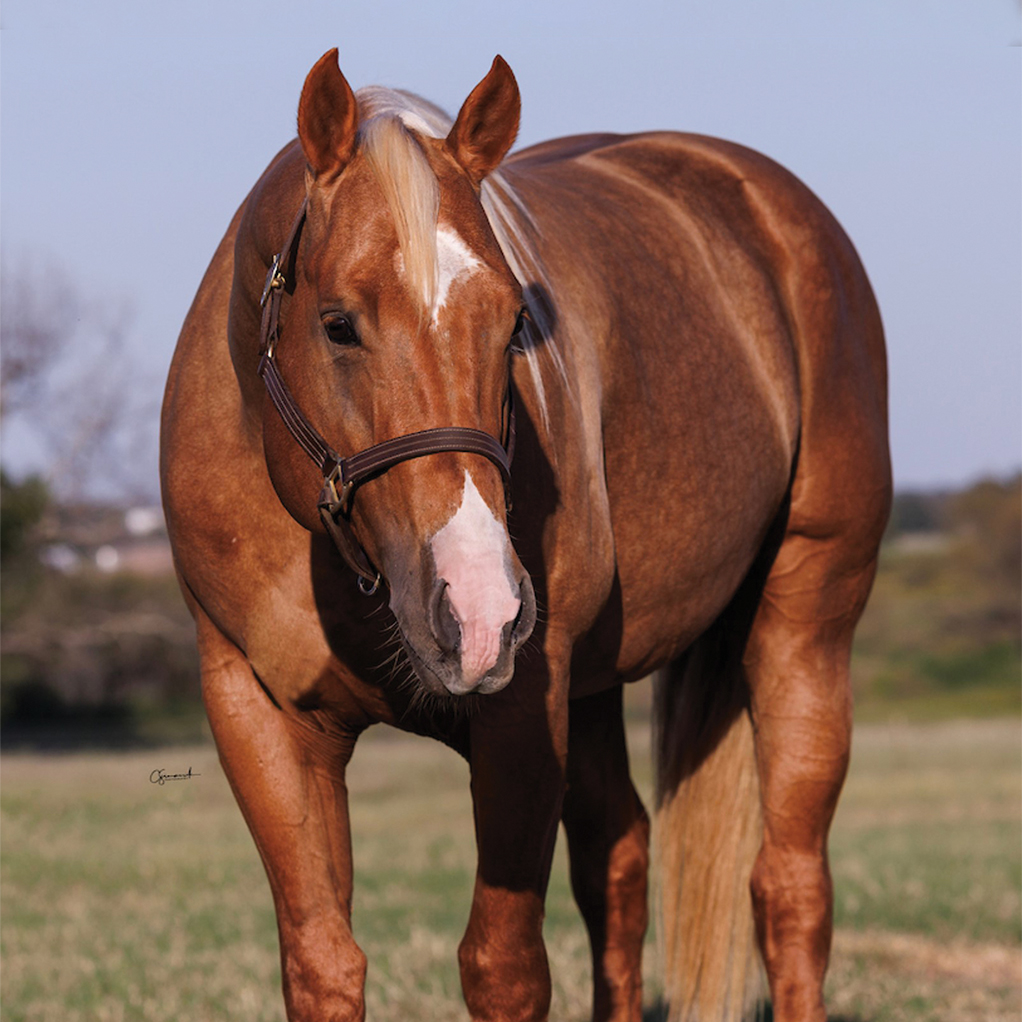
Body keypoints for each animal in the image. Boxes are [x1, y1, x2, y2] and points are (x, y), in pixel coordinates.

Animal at [160, 49, 890, 1022]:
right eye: (338, 324)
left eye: (515, 327)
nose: (479, 610)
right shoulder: (260, 715)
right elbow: (323, 963)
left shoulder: (521, 710)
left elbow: (502, 967)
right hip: (597, 688)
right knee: (621, 864)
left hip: (806, 627)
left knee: (790, 887)